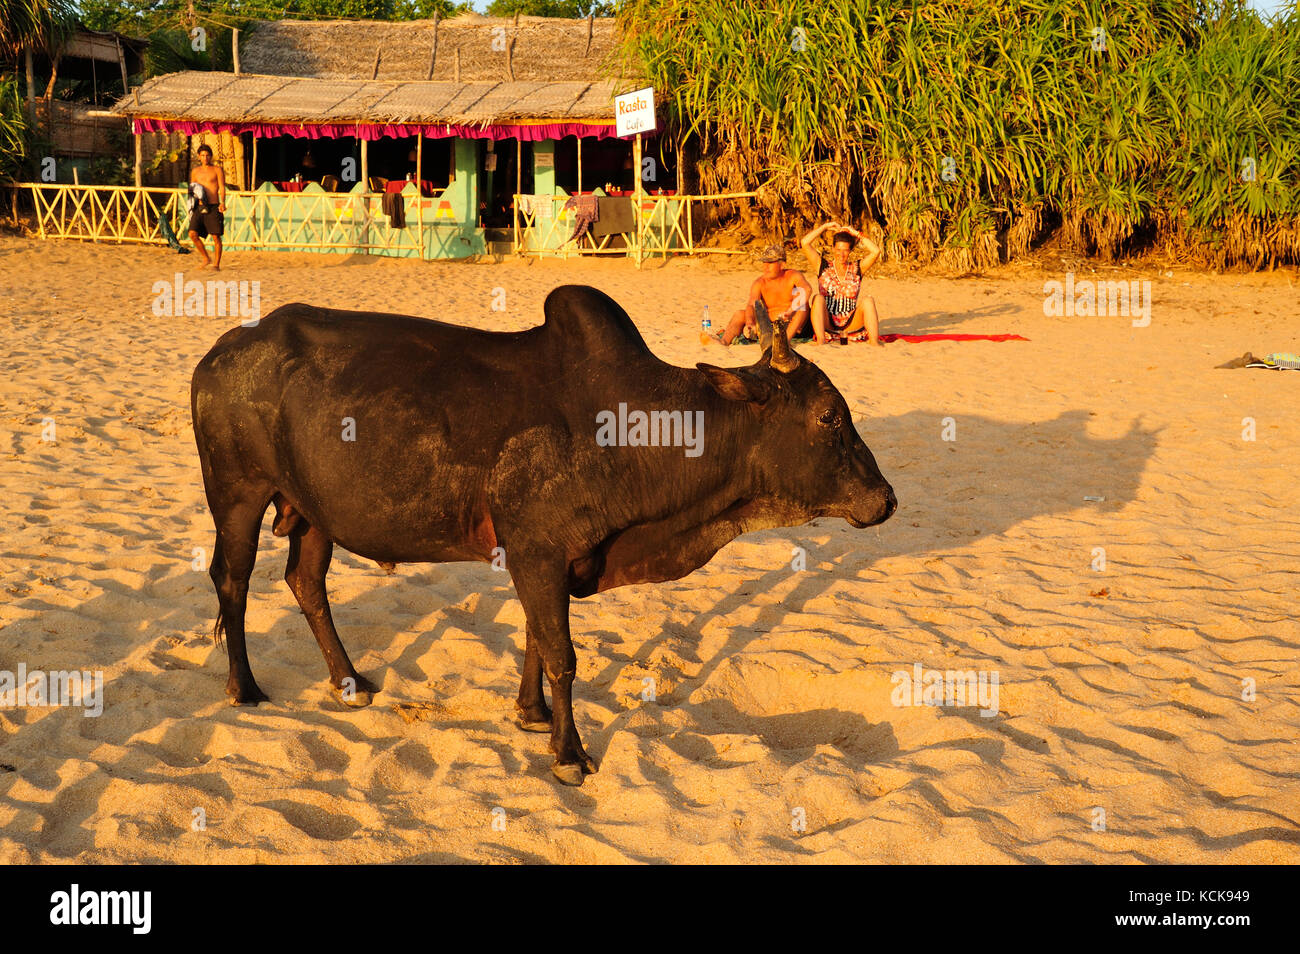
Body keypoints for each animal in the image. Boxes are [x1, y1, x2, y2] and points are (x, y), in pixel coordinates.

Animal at [190, 285, 895, 785]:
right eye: (828, 417)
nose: (886, 500)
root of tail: (222, 348)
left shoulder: (543, 560)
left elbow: (535, 637)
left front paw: (532, 715)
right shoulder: (539, 553)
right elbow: (562, 654)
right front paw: (569, 753)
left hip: (312, 511)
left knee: (305, 582)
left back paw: (350, 682)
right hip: (238, 494)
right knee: (232, 581)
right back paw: (244, 688)